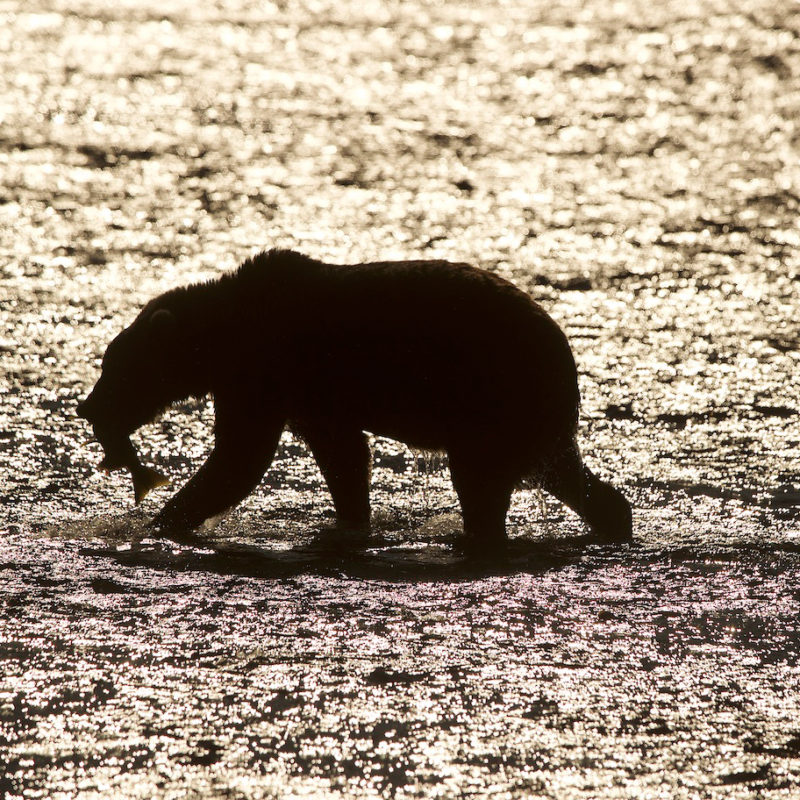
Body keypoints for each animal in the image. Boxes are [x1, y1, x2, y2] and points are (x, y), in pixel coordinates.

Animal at [77, 249, 632, 546]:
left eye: (113, 367)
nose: (88, 406)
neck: (225, 333)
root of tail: (565, 358)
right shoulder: (309, 397)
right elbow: (341, 454)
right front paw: (348, 520)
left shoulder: (265, 373)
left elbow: (239, 458)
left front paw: (158, 523)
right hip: (531, 419)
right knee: (563, 474)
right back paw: (612, 519)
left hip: (492, 399)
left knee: (480, 479)